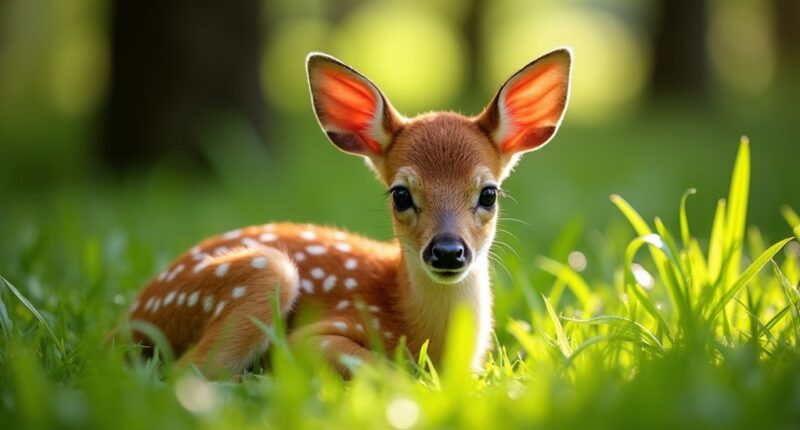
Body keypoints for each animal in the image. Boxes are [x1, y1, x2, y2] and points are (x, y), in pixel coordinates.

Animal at [125, 48, 573, 378]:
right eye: (400, 195)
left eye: (488, 193)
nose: (447, 251)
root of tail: (128, 319)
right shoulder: (321, 334)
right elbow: (388, 372)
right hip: (264, 273)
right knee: (186, 374)